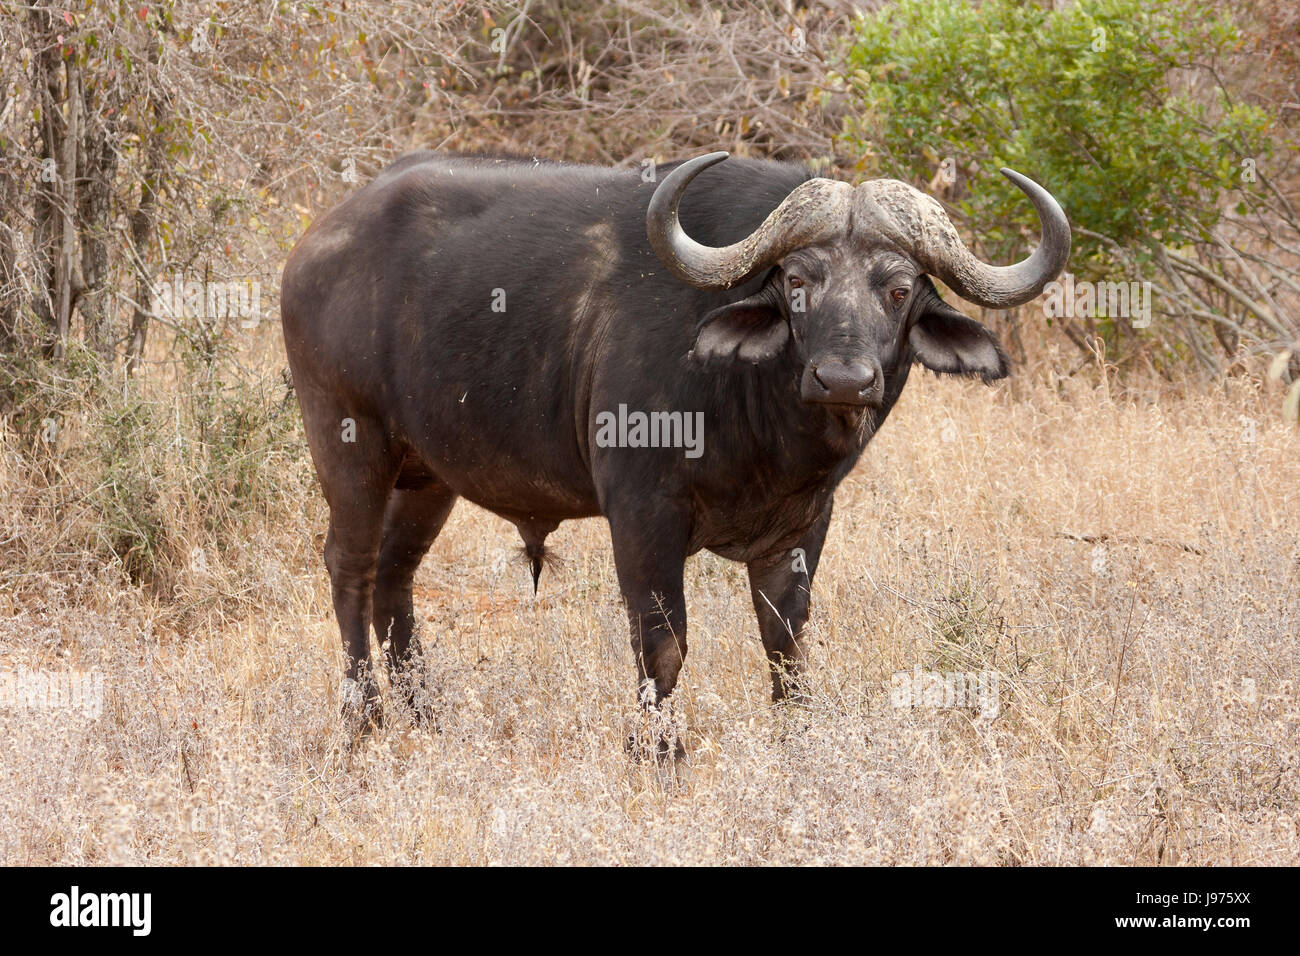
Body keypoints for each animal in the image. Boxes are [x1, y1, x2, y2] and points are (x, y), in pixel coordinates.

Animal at [280, 150, 1070, 743]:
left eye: (899, 288)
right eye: (797, 280)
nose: (844, 378)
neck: (762, 421)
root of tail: (315, 248)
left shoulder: (804, 523)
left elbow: (785, 642)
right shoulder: (642, 513)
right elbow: (663, 642)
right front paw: (659, 751)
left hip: (428, 475)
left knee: (395, 575)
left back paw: (424, 714)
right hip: (349, 442)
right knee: (349, 567)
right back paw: (364, 719)